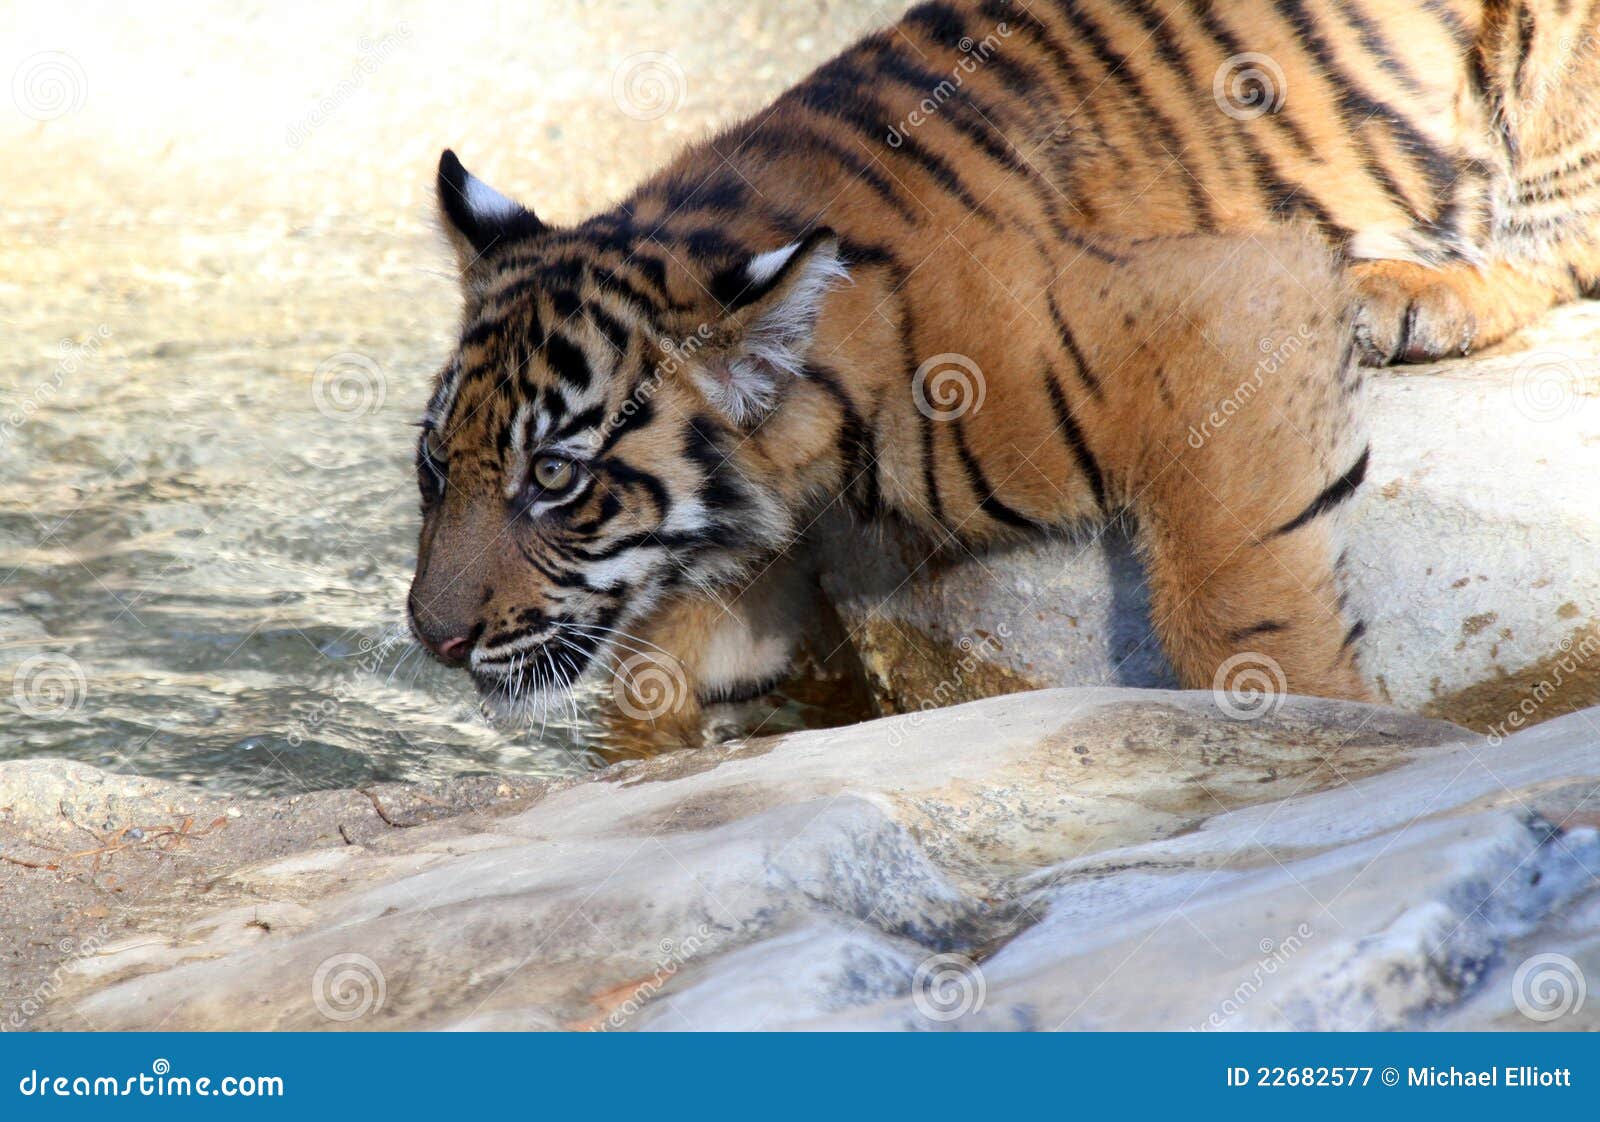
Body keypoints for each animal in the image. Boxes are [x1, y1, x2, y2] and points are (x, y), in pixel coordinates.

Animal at [407, 0, 1600, 724]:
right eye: (433, 466)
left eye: (554, 478)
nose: (432, 639)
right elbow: (663, 670)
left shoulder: (1226, 300)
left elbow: (1237, 608)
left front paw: (1333, 721)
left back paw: (1412, 297)